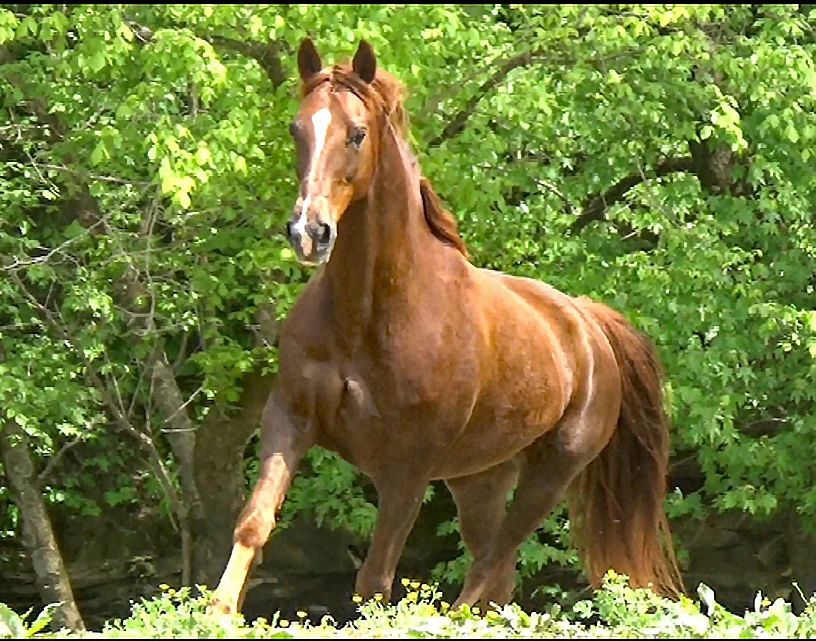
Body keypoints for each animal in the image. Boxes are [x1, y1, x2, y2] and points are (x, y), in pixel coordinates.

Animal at [208, 37, 684, 617]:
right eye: (297, 128)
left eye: (357, 132)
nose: (308, 232)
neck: (367, 316)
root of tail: (587, 321)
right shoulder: (289, 418)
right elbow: (253, 523)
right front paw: (216, 612)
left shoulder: (408, 469)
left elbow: (374, 580)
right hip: (478, 480)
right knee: (496, 579)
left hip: (551, 474)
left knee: (489, 567)